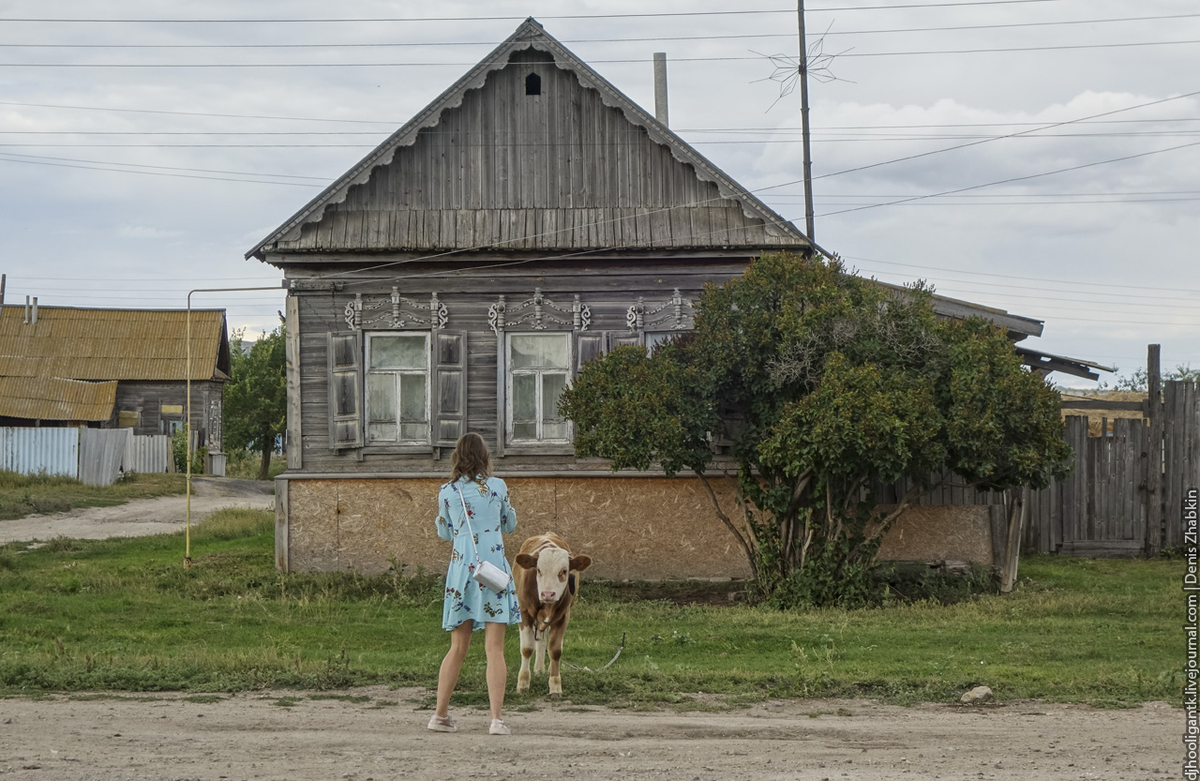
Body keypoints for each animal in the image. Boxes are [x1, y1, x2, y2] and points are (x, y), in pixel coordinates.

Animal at [513, 532, 592, 695]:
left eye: (564, 571)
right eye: (538, 570)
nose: (548, 594)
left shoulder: (563, 616)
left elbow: (555, 650)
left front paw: (555, 686)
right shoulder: (524, 613)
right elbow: (527, 648)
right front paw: (523, 683)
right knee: (540, 640)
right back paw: (538, 669)